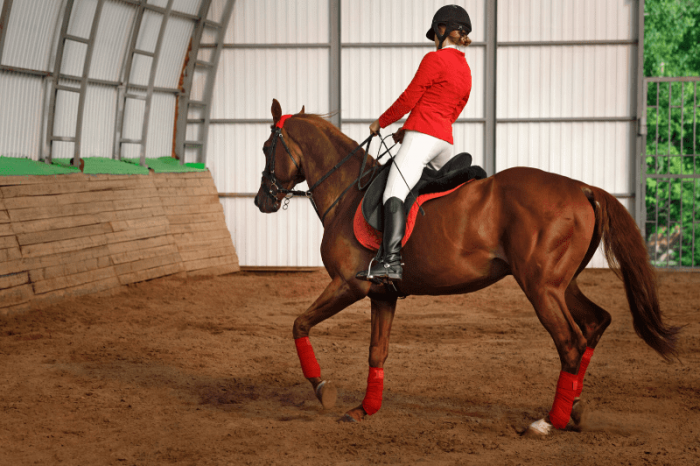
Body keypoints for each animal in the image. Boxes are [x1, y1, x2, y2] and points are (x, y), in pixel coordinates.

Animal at [253, 99, 679, 434]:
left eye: (265, 147)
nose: (262, 201)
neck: (348, 192)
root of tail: (583, 188)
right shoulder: (382, 295)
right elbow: (377, 352)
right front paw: (364, 409)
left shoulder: (348, 285)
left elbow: (299, 325)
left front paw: (322, 388)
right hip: (561, 284)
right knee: (595, 323)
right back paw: (573, 407)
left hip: (540, 288)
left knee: (570, 341)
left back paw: (547, 422)